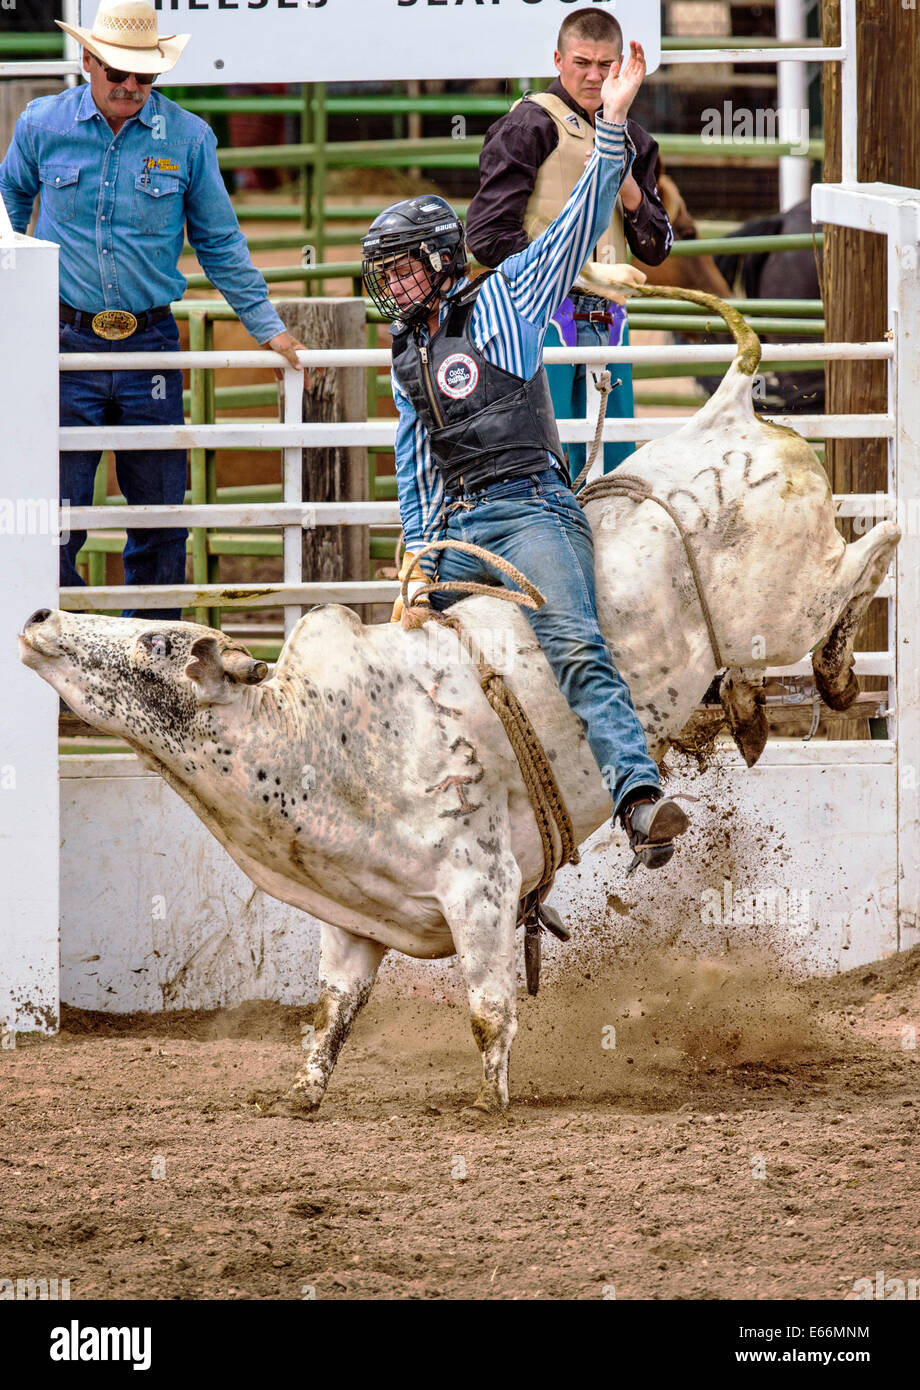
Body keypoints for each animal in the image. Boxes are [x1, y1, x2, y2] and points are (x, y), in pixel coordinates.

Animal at [19, 289, 899, 1116]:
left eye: (157, 644)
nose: (38, 619)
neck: (313, 738)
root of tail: (729, 408)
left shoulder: (481, 885)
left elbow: (486, 1010)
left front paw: (489, 1103)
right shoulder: (355, 919)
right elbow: (331, 1013)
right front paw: (302, 1093)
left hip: (785, 604)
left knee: (875, 543)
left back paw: (834, 673)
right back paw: (744, 709)